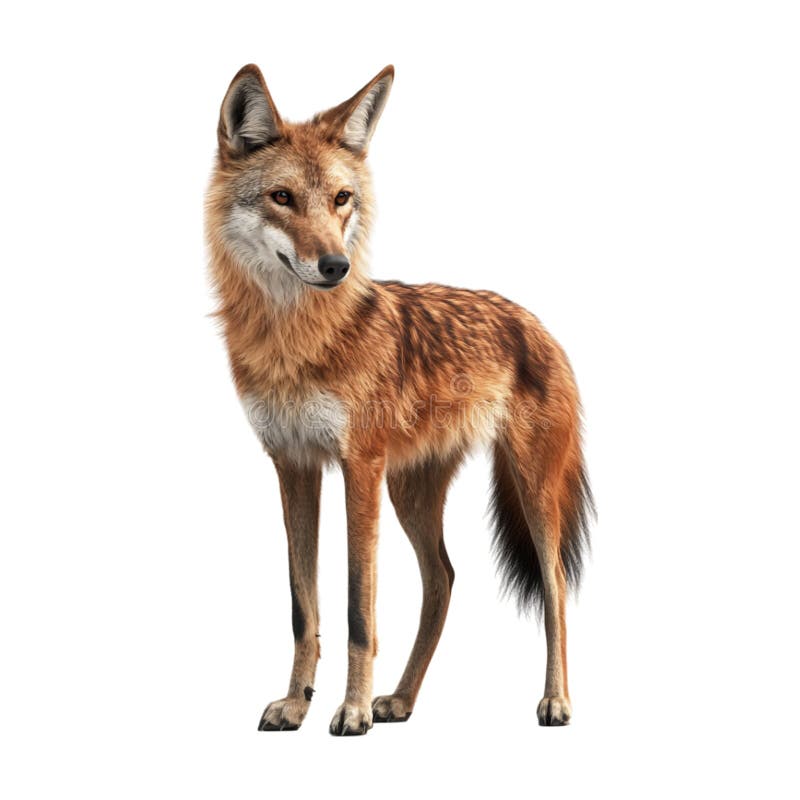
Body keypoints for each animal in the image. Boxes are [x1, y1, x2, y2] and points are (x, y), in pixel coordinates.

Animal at [205, 64, 594, 736]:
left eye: (342, 199)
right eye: (282, 197)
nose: (334, 265)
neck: (296, 344)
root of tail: (532, 320)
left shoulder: (358, 466)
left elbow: (359, 610)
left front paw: (351, 709)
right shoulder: (294, 466)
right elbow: (304, 609)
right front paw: (297, 703)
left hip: (532, 492)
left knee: (555, 592)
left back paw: (555, 701)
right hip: (410, 492)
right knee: (443, 580)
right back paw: (403, 700)